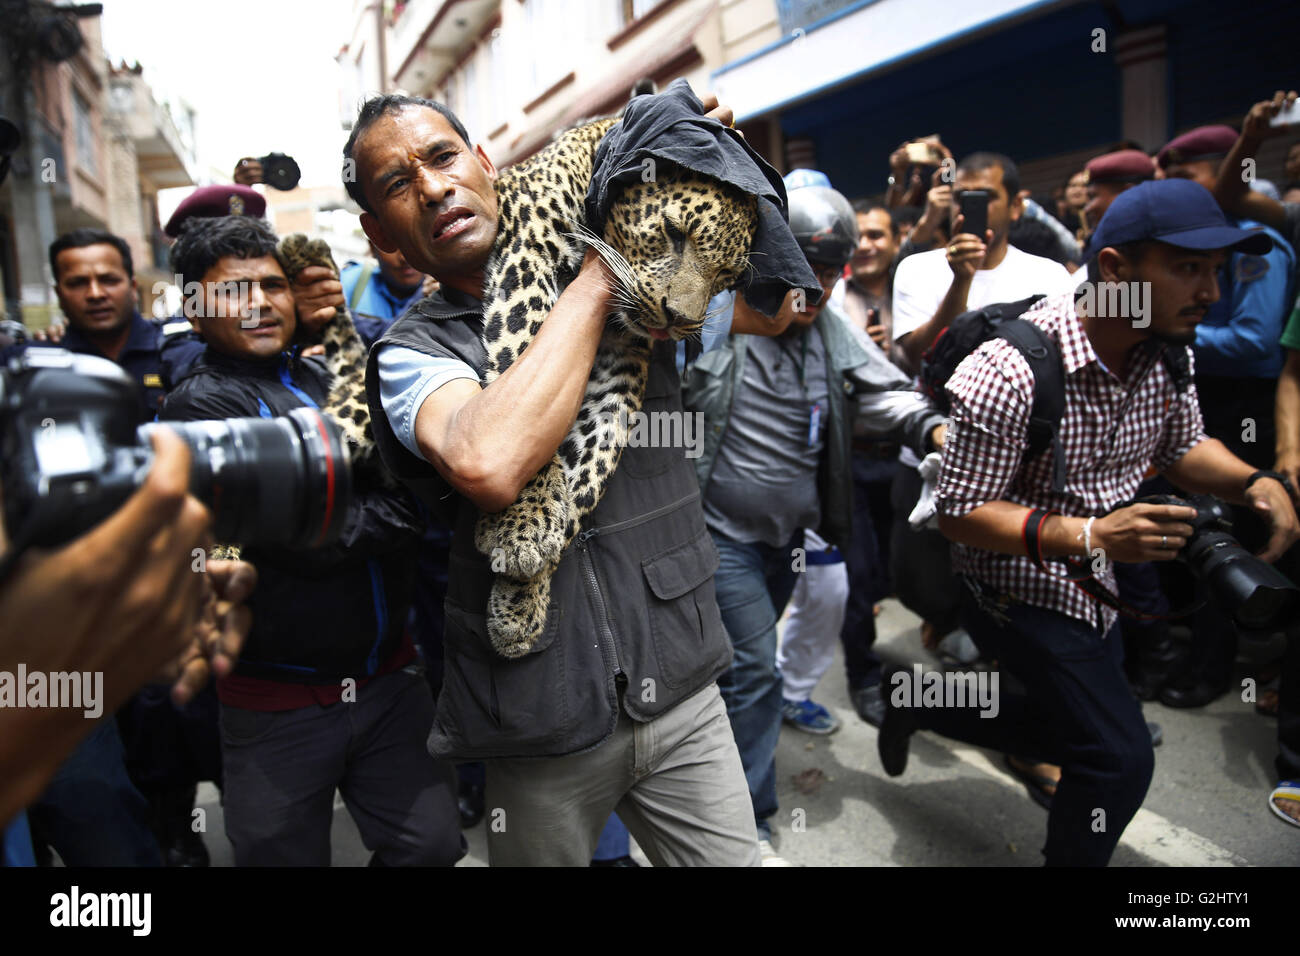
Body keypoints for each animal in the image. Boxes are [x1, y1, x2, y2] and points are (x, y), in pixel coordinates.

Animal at [473, 116, 759, 658]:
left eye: (728, 276)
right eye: (674, 234)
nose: (679, 320)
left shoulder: (619, 363)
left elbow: (589, 470)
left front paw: (520, 599)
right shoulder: (529, 252)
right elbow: (523, 380)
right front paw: (524, 521)